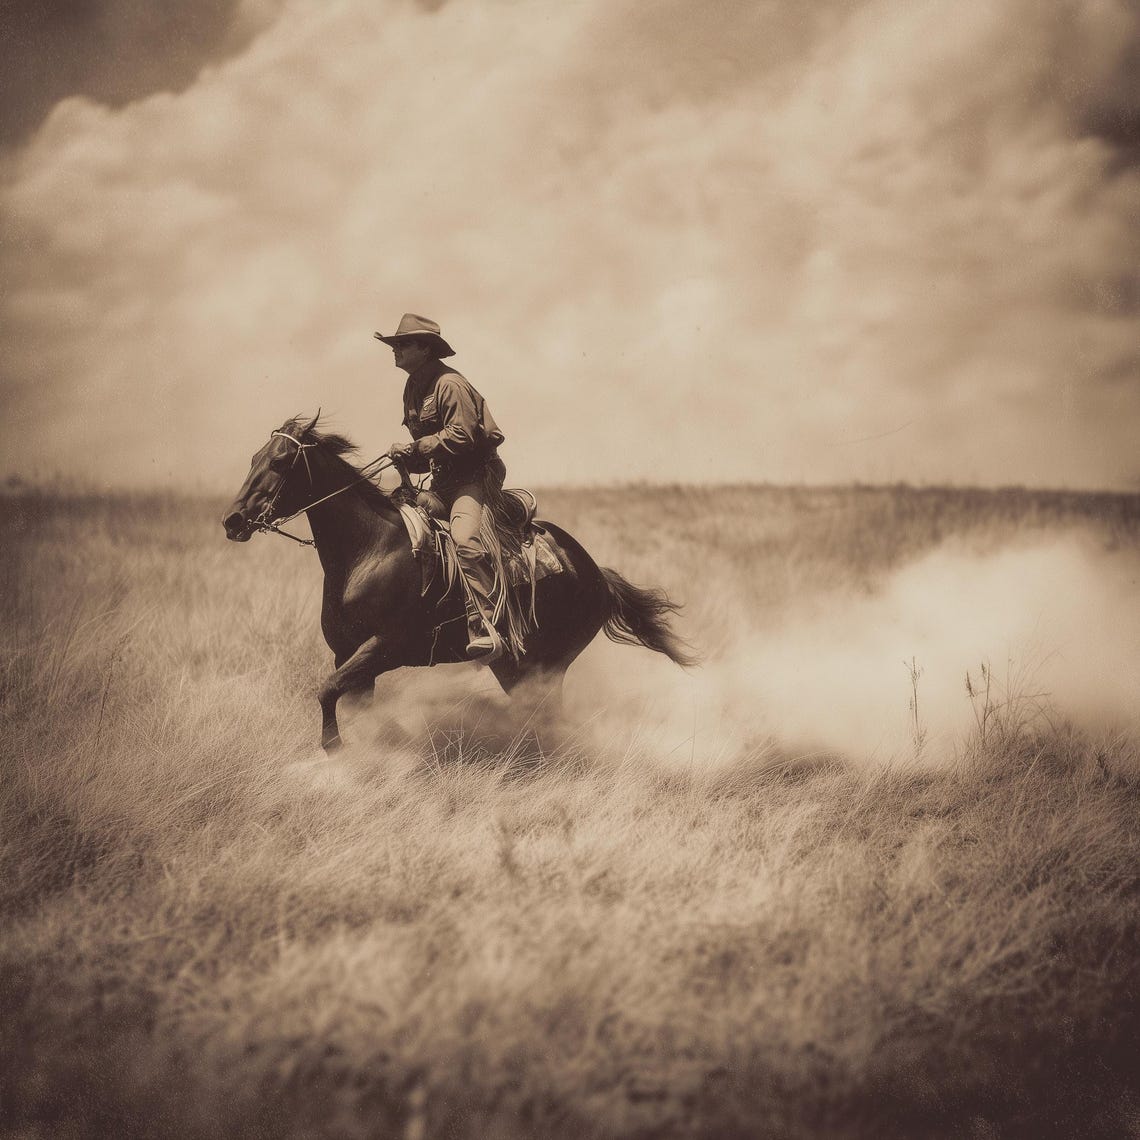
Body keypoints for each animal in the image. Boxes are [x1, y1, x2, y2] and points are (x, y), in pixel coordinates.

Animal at [222, 414, 697, 752]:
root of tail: (597, 574)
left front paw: (335, 748)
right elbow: (350, 702)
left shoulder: (382, 648)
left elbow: (325, 690)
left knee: (548, 716)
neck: (369, 550)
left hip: (548, 666)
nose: (233, 520)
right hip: (513, 665)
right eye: (252, 458)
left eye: (279, 461)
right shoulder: (347, 653)